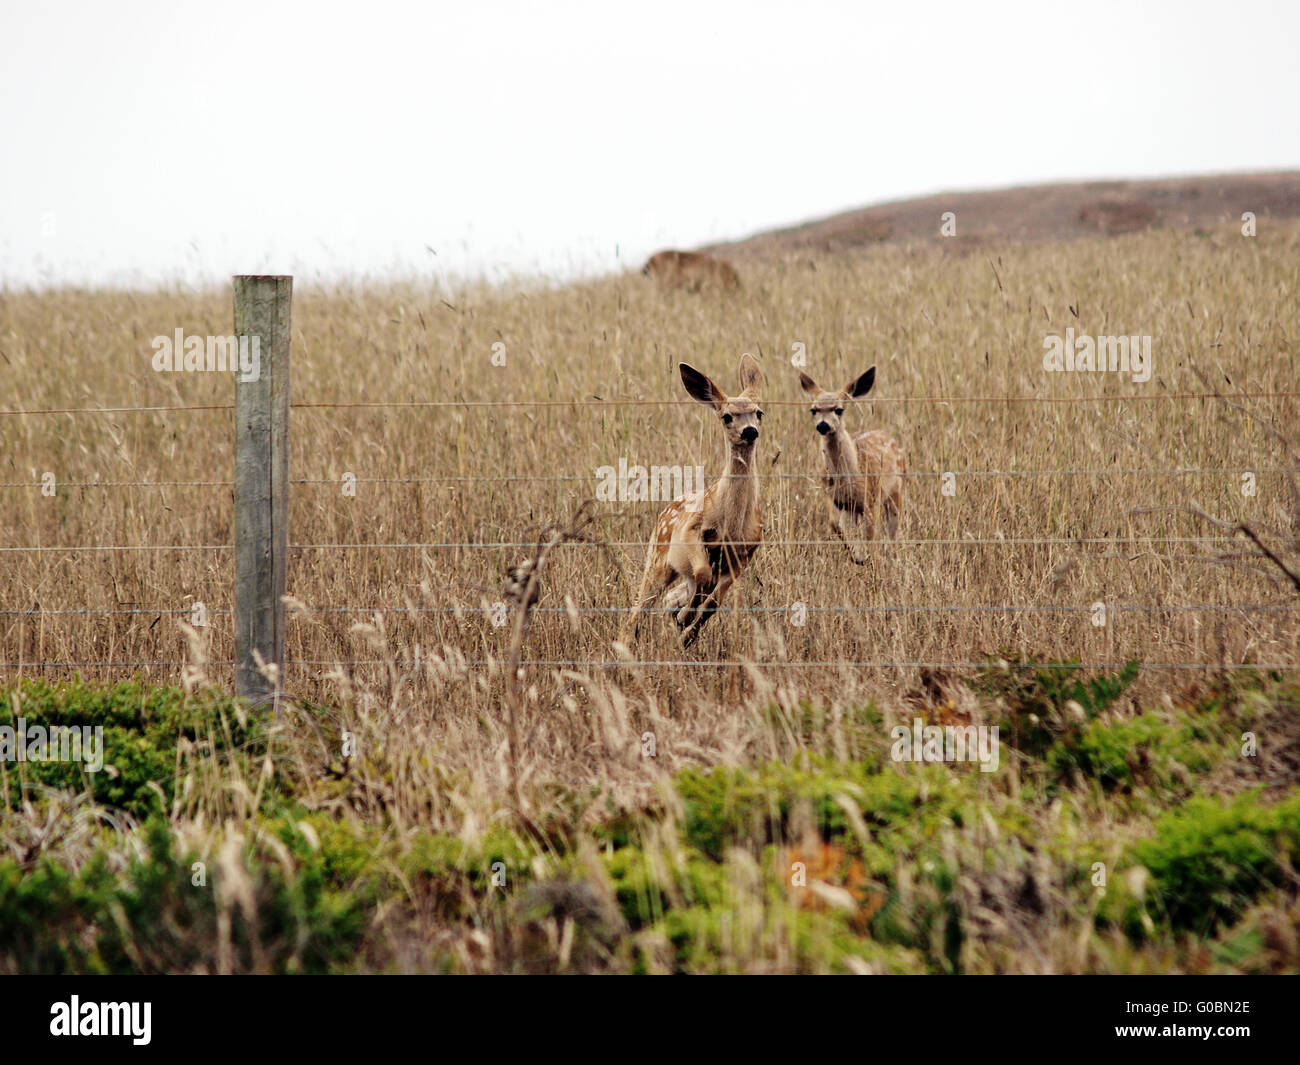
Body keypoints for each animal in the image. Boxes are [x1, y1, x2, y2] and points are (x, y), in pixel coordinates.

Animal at [620, 353, 764, 648]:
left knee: (670, 597)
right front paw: (686, 619)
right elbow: (703, 576)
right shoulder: (692, 530)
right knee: (640, 607)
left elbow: (713, 603)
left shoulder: (744, 552)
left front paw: (688, 630)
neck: (732, 524)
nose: (750, 431)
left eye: (759, 412)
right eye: (727, 416)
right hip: (658, 558)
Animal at [798, 366, 905, 564]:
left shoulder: (871, 497)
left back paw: (893, 561)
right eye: (813, 410)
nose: (823, 425)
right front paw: (855, 555)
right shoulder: (831, 496)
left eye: (839, 410)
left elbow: (871, 538)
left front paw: (870, 562)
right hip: (855, 509)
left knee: (892, 532)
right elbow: (834, 524)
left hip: (895, 492)